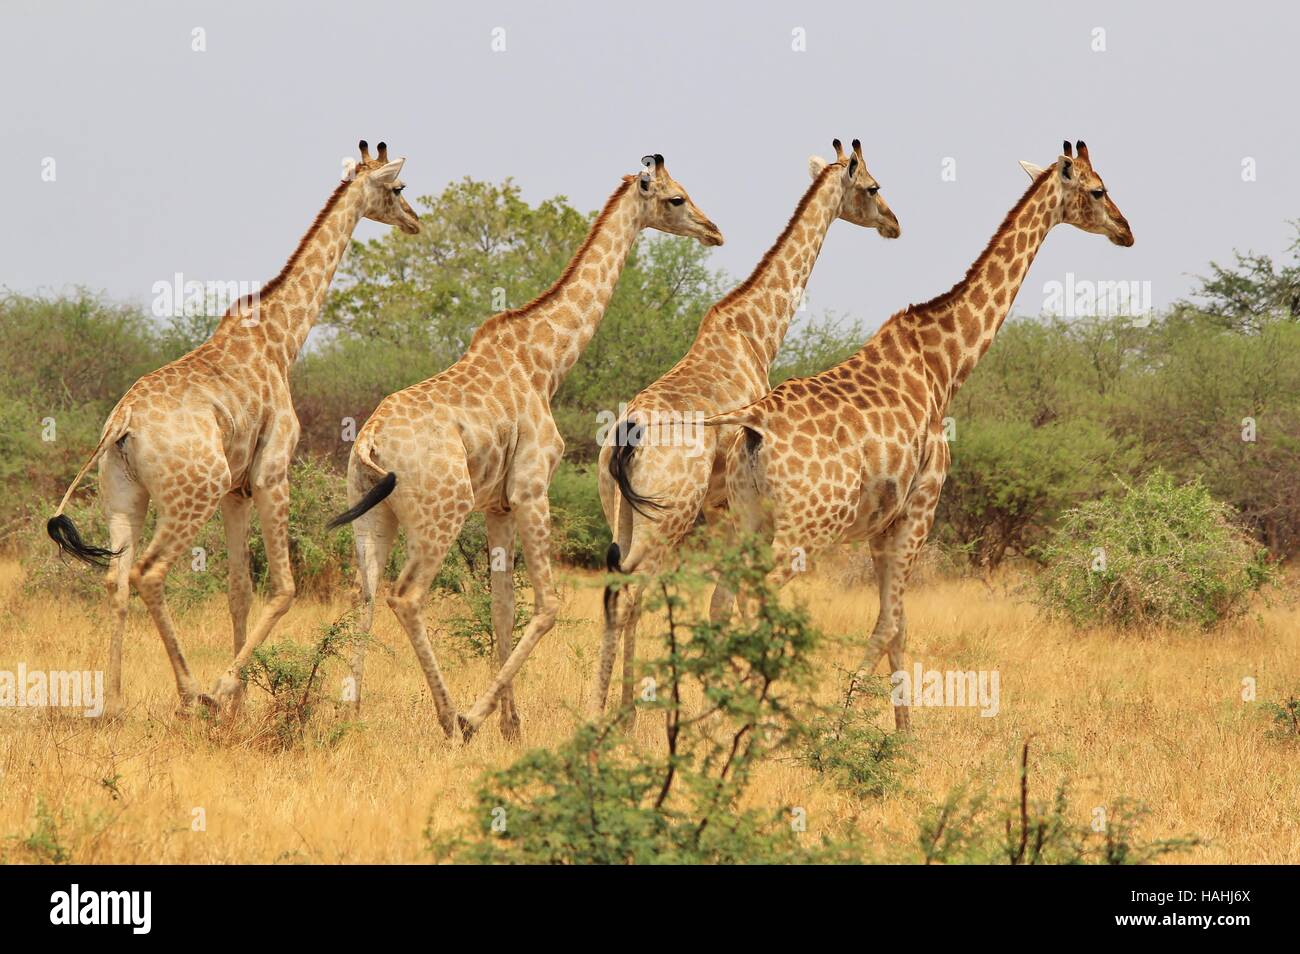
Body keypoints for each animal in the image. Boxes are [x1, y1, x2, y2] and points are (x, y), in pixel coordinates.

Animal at [46, 141, 420, 718]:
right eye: (398, 188)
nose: (415, 222)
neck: (283, 337)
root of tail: (121, 423)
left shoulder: (236, 491)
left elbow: (239, 589)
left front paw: (240, 702)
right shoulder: (271, 473)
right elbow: (284, 588)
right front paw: (226, 692)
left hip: (124, 493)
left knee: (115, 578)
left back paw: (111, 702)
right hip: (192, 493)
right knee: (148, 572)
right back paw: (190, 693)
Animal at [327, 154, 723, 741]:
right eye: (677, 198)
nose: (714, 230)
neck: (546, 361)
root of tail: (371, 441)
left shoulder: (497, 504)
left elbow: (501, 607)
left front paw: (510, 726)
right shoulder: (532, 489)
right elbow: (548, 605)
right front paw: (481, 716)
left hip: (372, 515)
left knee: (368, 592)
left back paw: (349, 714)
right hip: (441, 512)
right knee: (407, 596)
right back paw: (451, 719)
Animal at [589, 140, 900, 720]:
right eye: (872, 187)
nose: (894, 223)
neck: (758, 332)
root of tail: (626, 436)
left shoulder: (721, 507)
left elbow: (718, 601)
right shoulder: (727, 505)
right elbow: (723, 601)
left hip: (618, 511)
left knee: (616, 589)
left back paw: (606, 711)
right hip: (668, 515)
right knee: (635, 592)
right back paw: (625, 715)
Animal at [708, 140, 1133, 731]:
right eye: (1098, 190)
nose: (1126, 230)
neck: (947, 363)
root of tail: (752, 425)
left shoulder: (882, 525)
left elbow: (899, 625)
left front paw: (904, 733)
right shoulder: (921, 507)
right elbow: (888, 624)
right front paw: (842, 727)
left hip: (747, 517)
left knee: (722, 600)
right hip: (802, 530)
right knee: (754, 604)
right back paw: (753, 722)